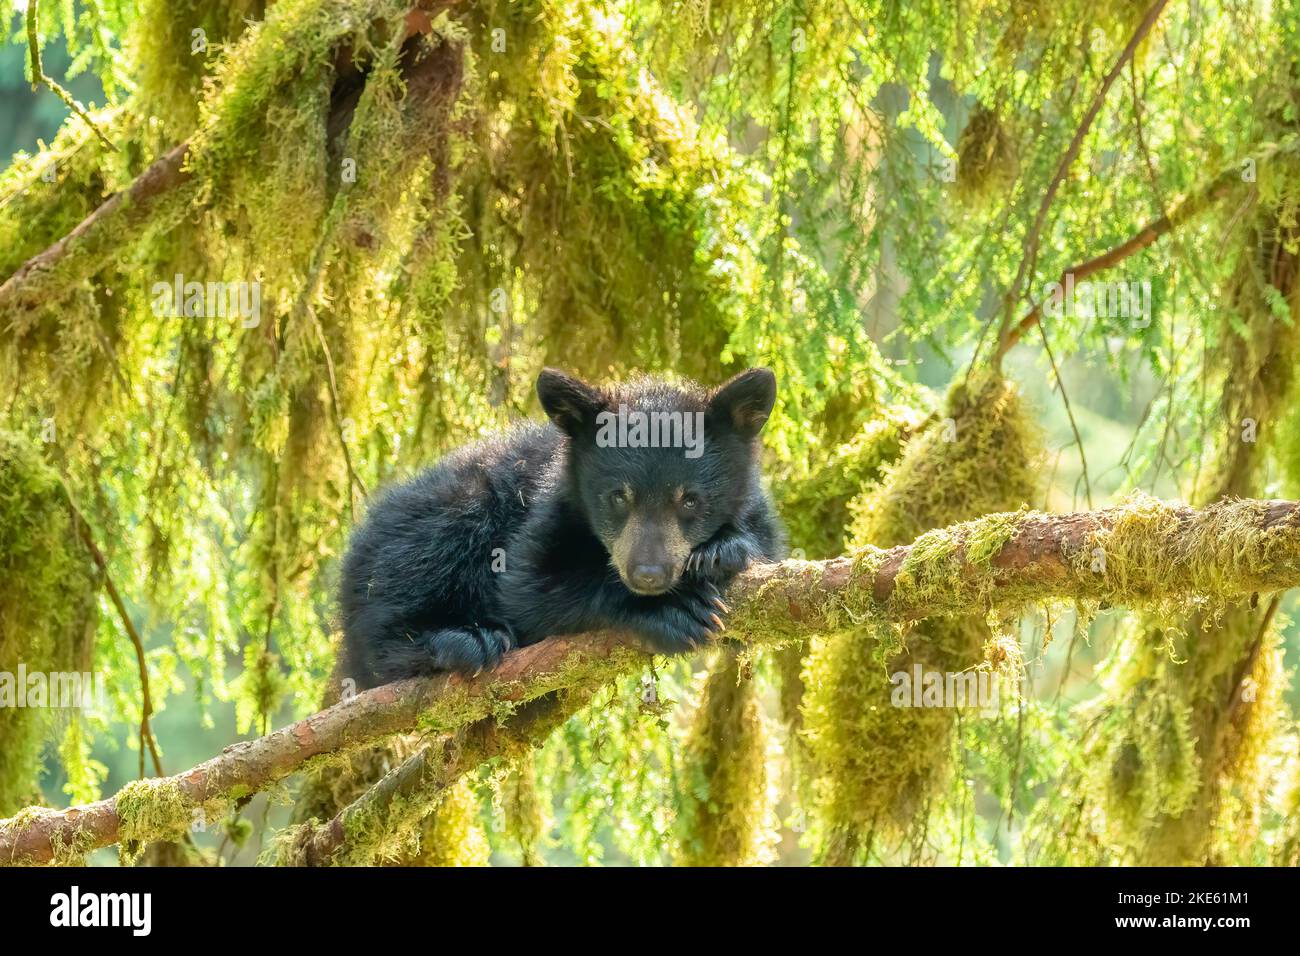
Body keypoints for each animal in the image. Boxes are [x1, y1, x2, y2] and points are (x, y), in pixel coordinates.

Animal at [338, 367, 786, 688]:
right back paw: (464, 640)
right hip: (440, 516)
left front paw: (722, 552)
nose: (649, 575)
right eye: (617, 496)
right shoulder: (545, 513)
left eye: (690, 499)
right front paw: (673, 610)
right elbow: (528, 588)